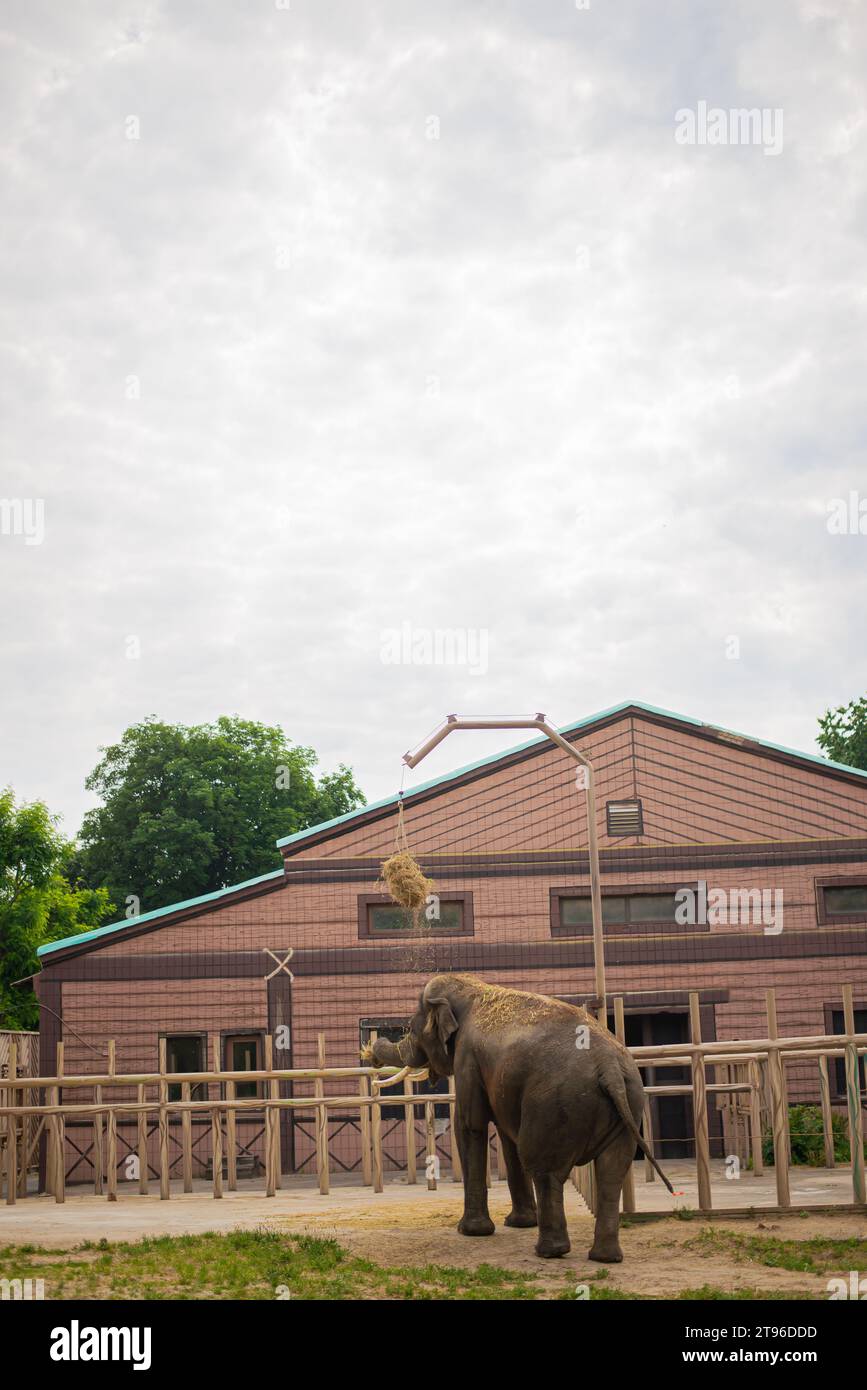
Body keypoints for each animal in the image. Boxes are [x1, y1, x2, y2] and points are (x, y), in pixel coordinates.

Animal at [366, 973, 673, 1261]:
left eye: (412, 1027)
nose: (371, 1053)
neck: (472, 989)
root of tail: (609, 1068)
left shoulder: (467, 1058)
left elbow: (470, 1125)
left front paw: (471, 1231)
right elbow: (506, 1136)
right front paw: (519, 1223)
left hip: (554, 1108)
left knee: (545, 1168)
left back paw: (549, 1251)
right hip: (628, 1104)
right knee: (612, 1171)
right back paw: (605, 1258)